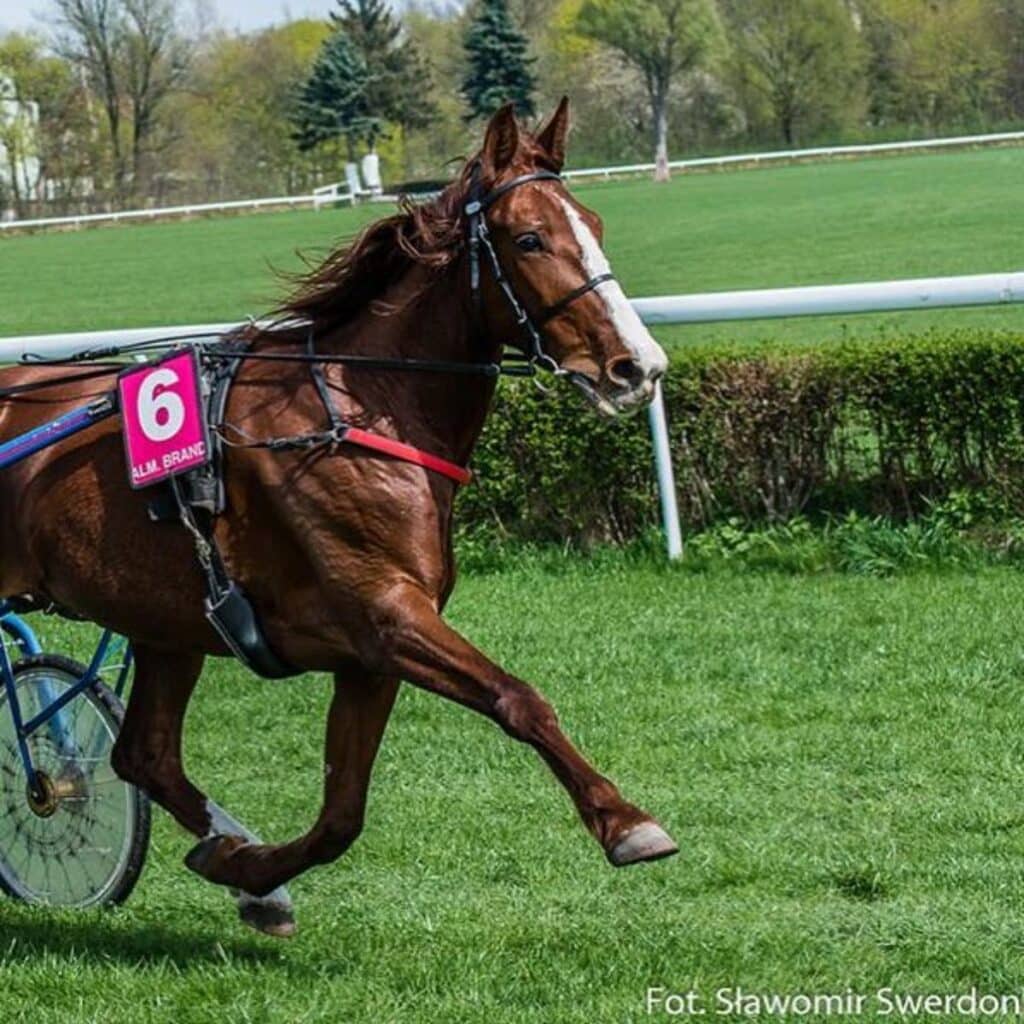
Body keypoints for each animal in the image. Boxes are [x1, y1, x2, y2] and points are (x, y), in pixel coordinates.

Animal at [0, 100, 677, 937]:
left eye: (595, 223)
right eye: (529, 238)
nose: (637, 367)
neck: (356, 412)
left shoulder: (368, 655)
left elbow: (341, 817)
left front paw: (249, 873)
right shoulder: (388, 615)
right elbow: (519, 699)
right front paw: (626, 823)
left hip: (165, 622)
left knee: (146, 755)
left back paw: (236, 854)